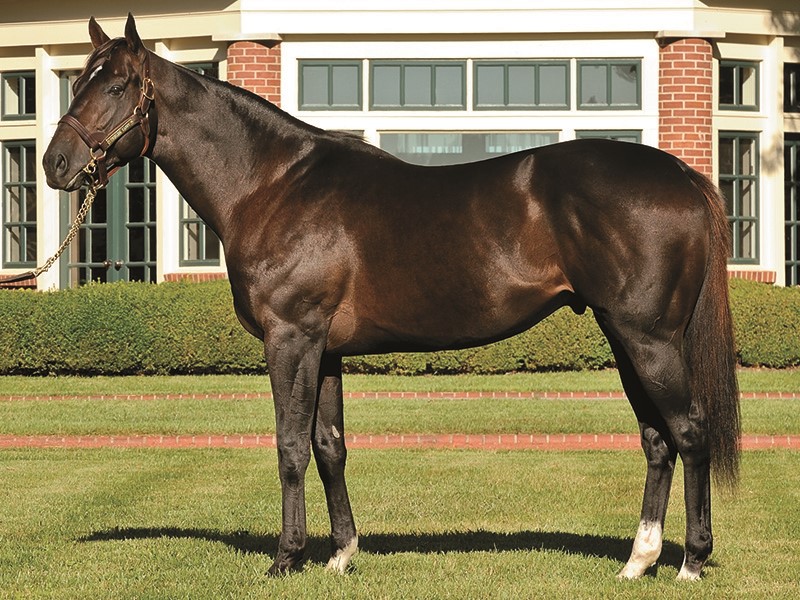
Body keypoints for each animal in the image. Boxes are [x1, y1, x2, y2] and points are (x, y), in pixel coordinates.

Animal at [43, 14, 740, 581]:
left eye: (115, 87)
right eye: (77, 84)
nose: (54, 164)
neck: (271, 184)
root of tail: (683, 174)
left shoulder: (291, 338)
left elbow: (290, 444)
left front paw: (286, 558)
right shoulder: (324, 349)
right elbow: (329, 446)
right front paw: (342, 554)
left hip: (648, 338)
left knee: (689, 430)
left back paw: (691, 562)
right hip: (625, 336)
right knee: (656, 439)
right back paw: (638, 561)